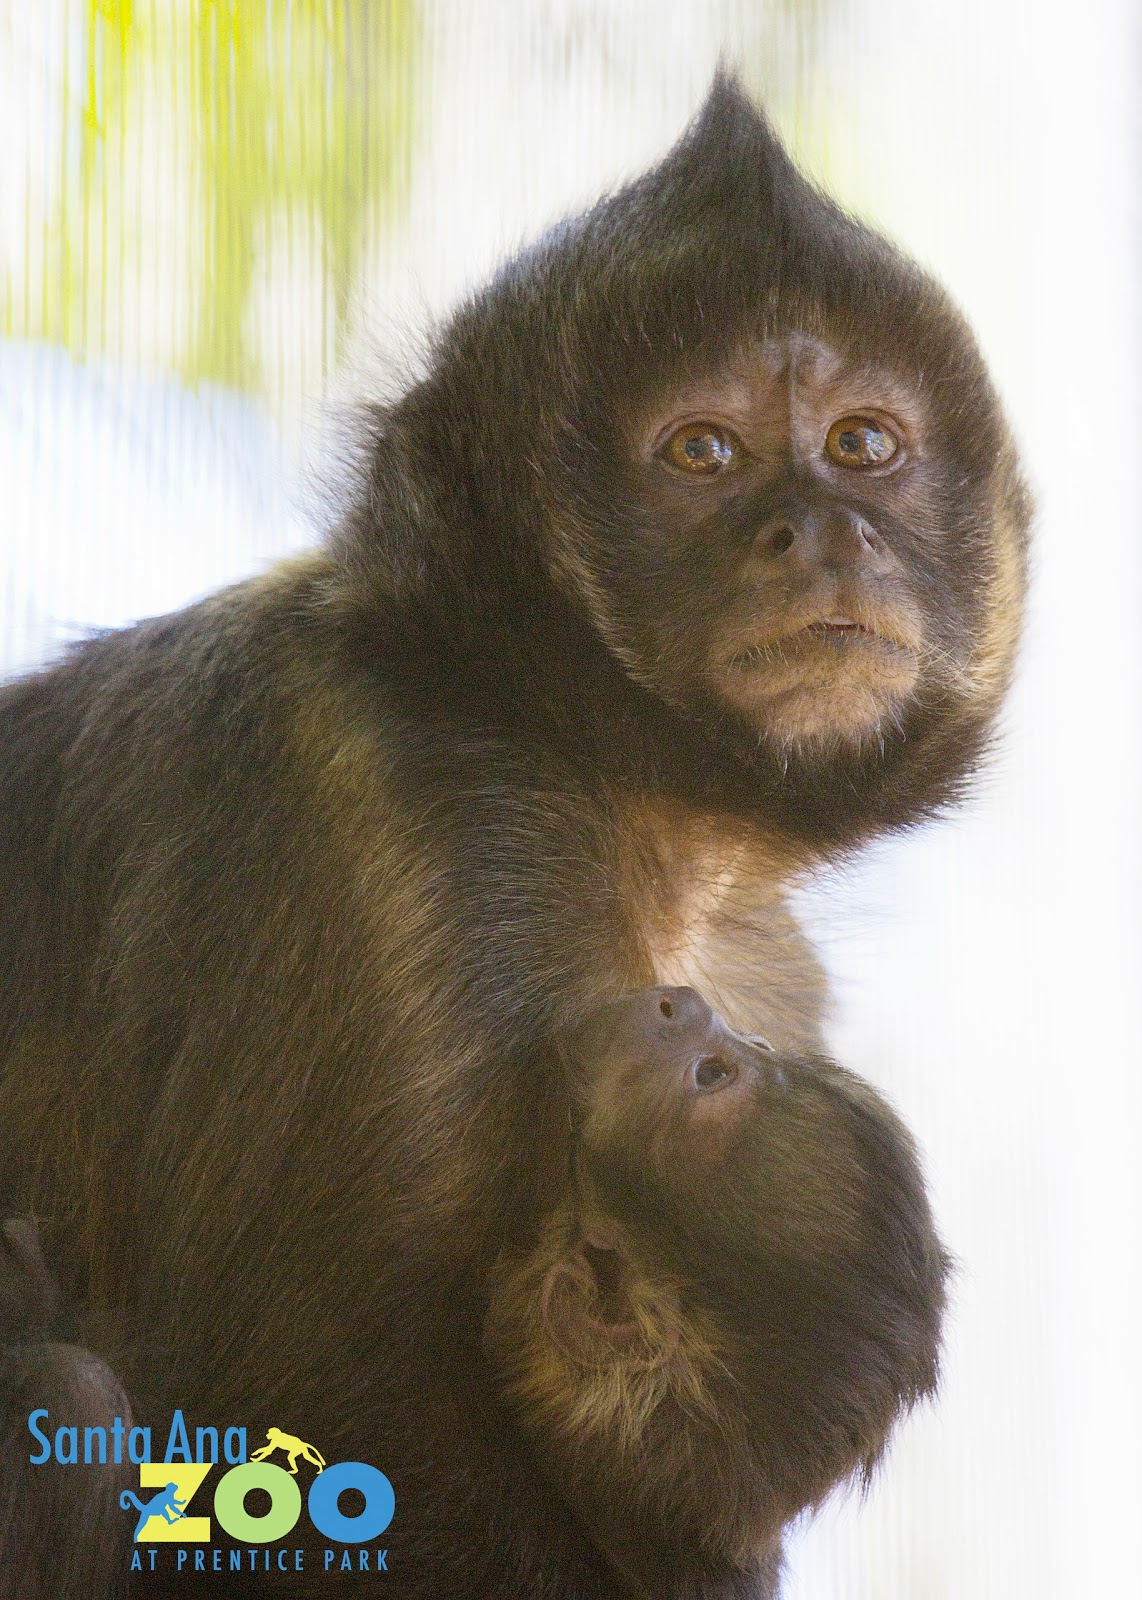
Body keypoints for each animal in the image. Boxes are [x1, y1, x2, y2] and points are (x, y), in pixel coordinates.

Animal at [0, 72, 1025, 1594]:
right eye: (702, 452)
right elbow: (310, 1394)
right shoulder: (388, 809)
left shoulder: (764, 965)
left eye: (861, 447)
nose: (822, 531)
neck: (609, 779)